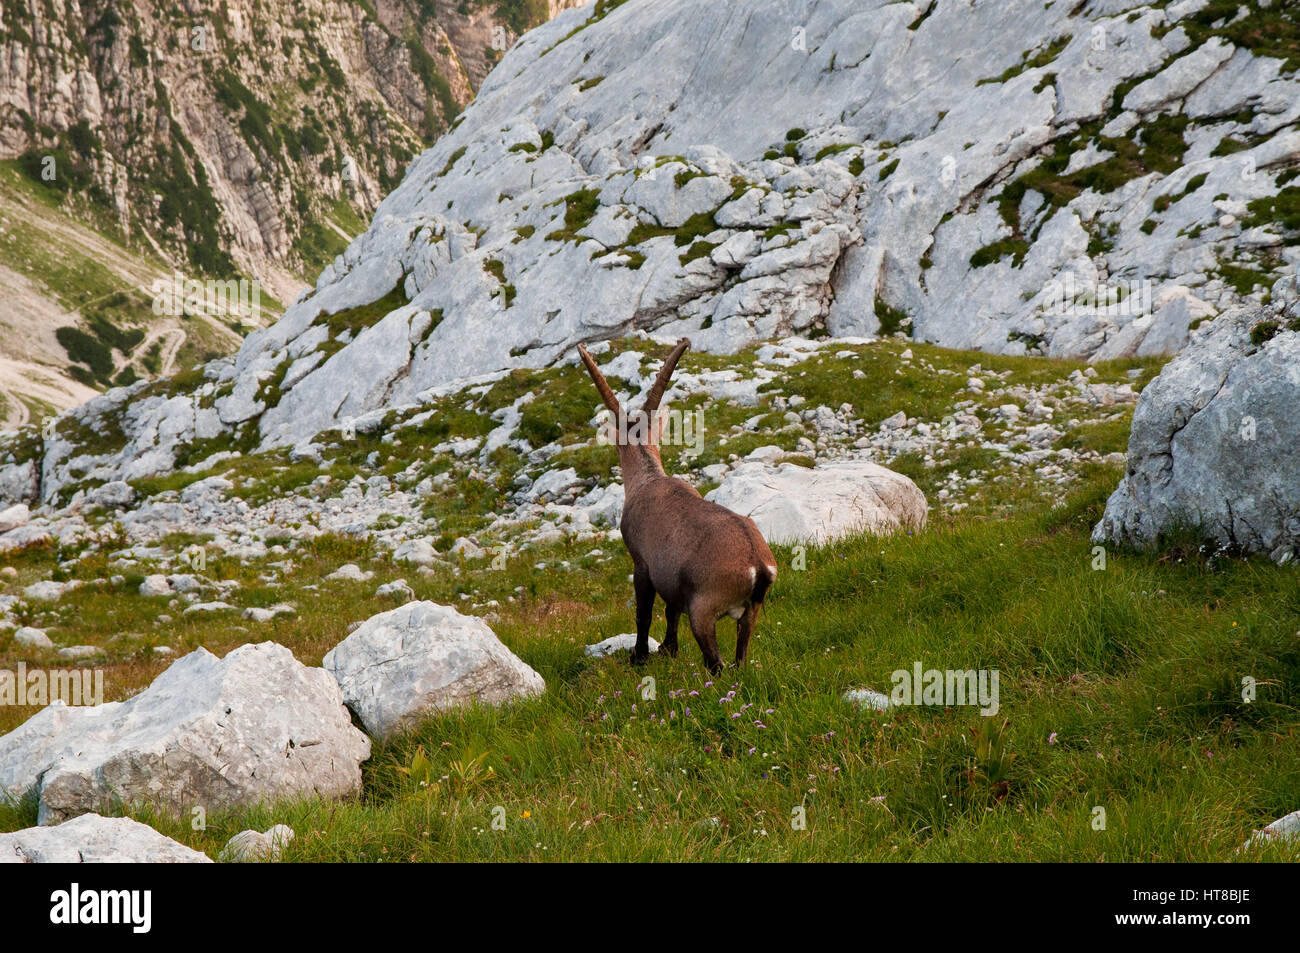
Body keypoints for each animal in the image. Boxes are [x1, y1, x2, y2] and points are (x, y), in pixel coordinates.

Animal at [576, 338, 777, 673]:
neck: (648, 479)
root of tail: (758, 565)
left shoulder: (642, 564)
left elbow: (644, 614)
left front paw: (639, 656)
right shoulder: (670, 579)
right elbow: (671, 611)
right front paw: (668, 649)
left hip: (704, 610)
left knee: (716, 663)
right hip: (751, 614)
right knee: (740, 658)